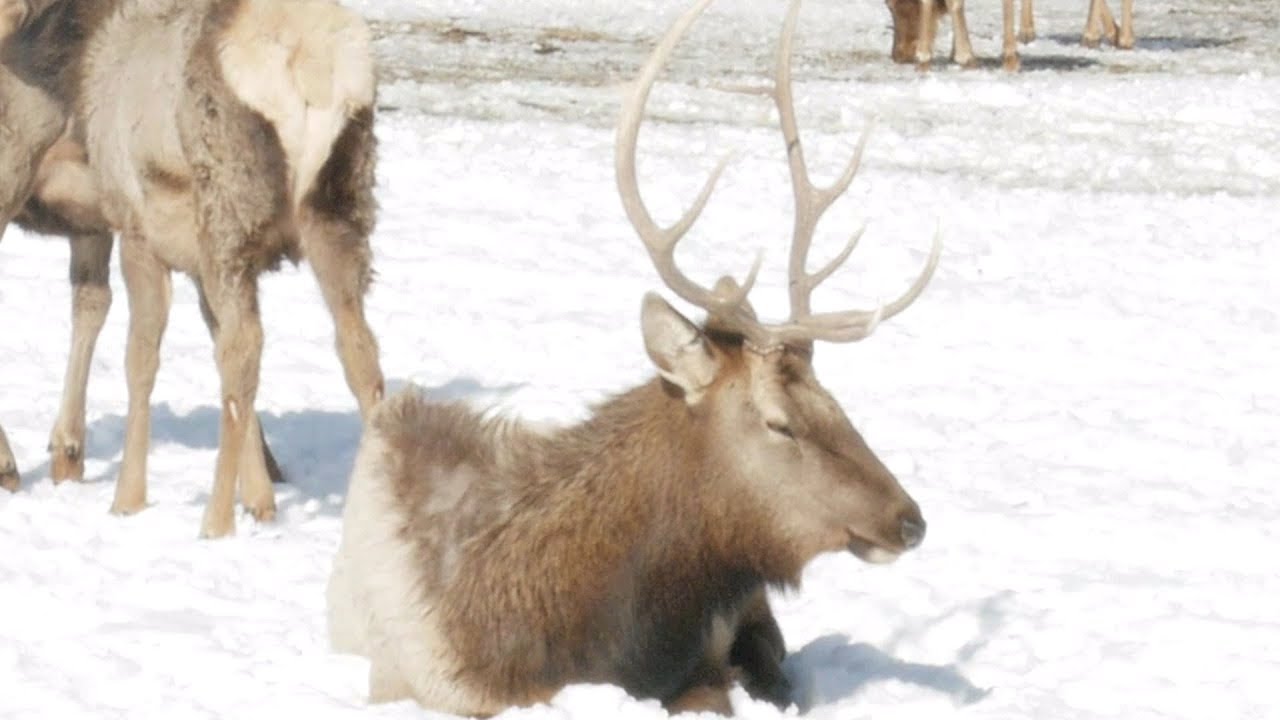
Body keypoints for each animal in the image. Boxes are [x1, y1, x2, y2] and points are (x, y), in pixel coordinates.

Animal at [0, 0, 384, 537]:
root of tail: (305, 63)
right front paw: (261, 500)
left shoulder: (138, 226)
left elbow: (140, 359)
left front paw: (128, 499)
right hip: (340, 207)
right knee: (359, 352)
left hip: (229, 208)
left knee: (244, 353)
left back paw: (214, 519)